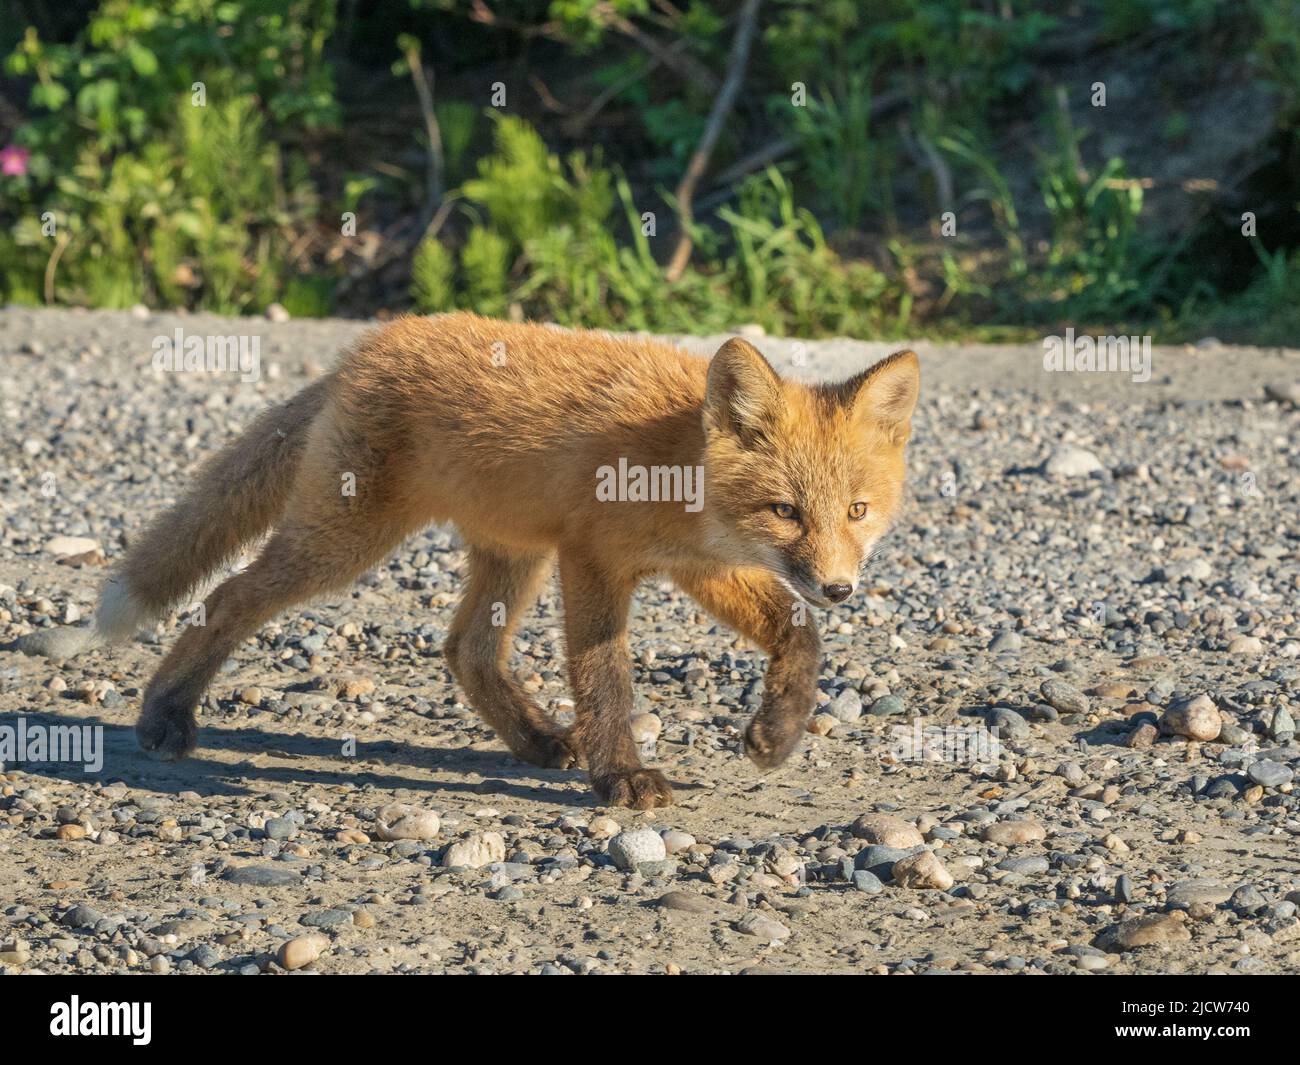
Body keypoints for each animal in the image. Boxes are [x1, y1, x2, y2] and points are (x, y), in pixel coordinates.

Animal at [21, 314, 919, 809]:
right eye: (786, 510)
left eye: (857, 511)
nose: (843, 585)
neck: (676, 465)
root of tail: (366, 345)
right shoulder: (593, 558)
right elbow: (606, 680)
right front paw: (622, 776)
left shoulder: (698, 566)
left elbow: (798, 631)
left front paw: (776, 733)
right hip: (344, 544)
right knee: (228, 598)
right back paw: (165, 714)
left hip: (510, 558)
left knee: (465, 650)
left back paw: (536, 739)